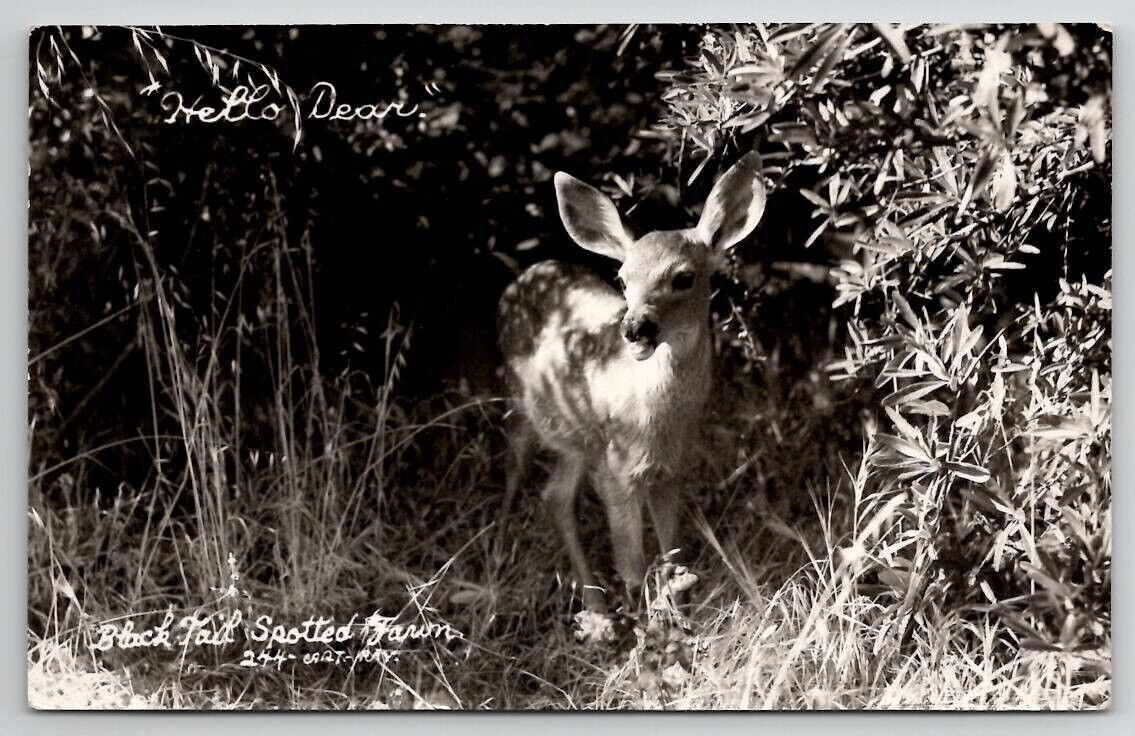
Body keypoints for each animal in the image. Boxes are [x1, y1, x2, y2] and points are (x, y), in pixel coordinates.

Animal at [497, 153, 766, 616]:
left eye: (683, 277)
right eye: (623, 279)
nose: (635, 328)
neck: (656, 420)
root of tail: (521, 275)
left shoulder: (671, 468)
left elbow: (673, 551)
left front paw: (678, 614)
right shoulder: (617, 468)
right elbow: (632, 566)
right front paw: (645, 626)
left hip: (580, 441)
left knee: (555, 495)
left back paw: (594, 604)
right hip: (524, 406)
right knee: (515, 472)